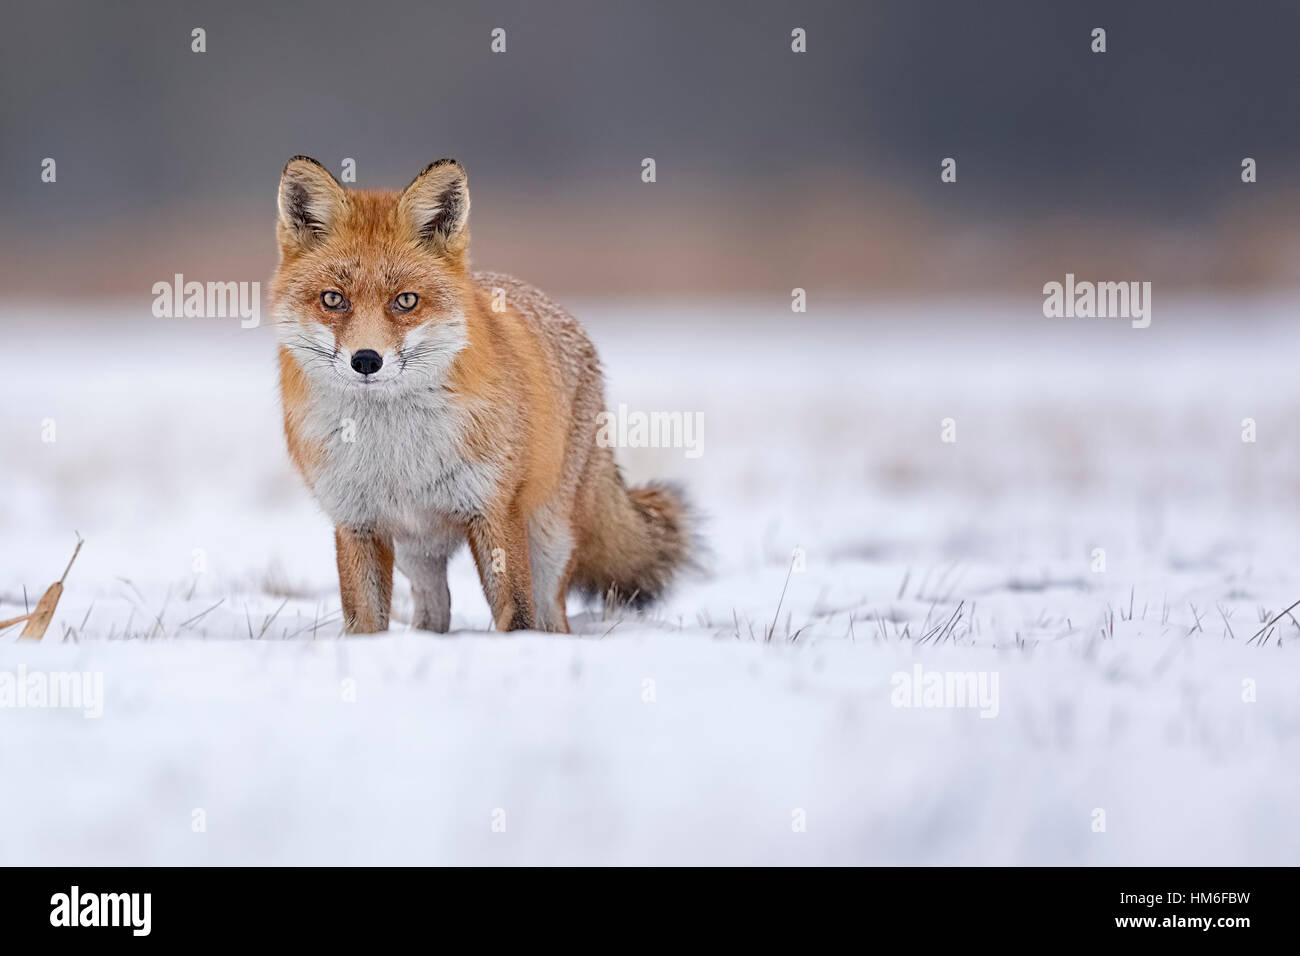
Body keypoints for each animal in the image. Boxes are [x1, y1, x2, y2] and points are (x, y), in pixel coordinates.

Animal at [271, 156, 692, 634]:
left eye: (406, 301)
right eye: (333, 299)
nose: (366, 360)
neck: (396, 452)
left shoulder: (493, 510)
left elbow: (517, 614)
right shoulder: (357, 521)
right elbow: (365, 622)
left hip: (550, 538)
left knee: (550, 614)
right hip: (419, 549)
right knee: (434, 605)